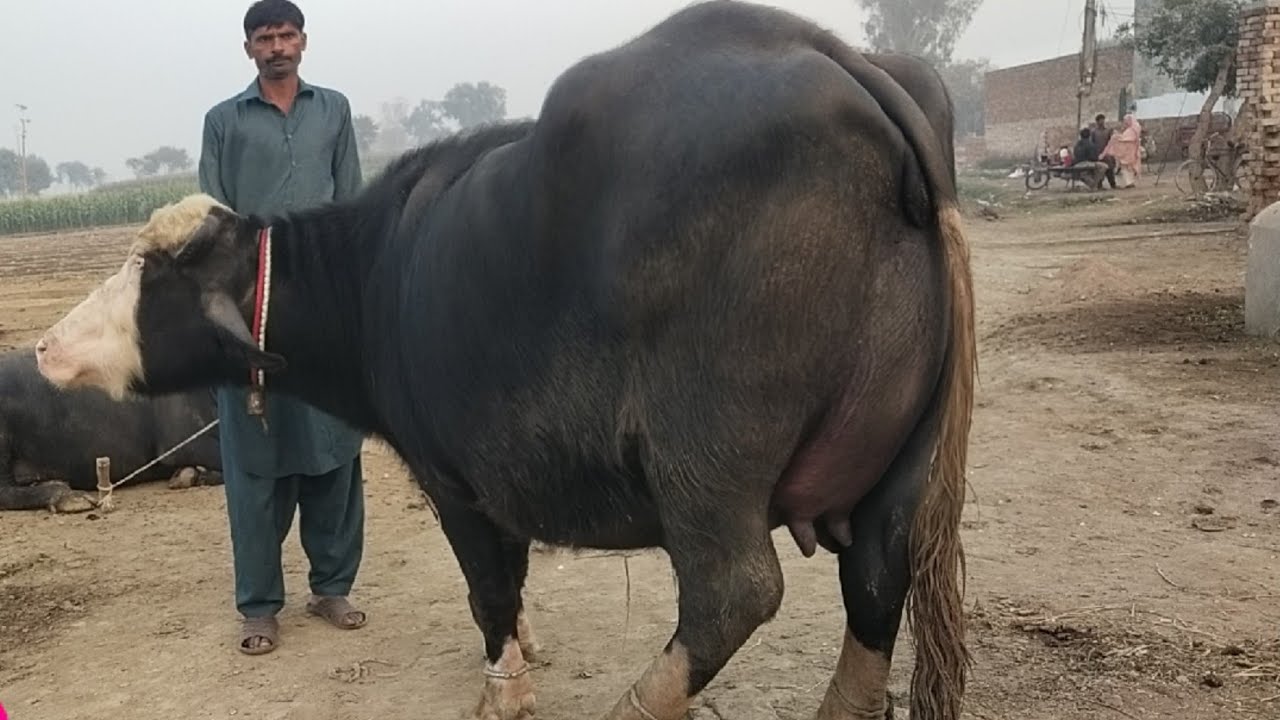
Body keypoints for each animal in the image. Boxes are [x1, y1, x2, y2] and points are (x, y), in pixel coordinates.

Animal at [34, 2, 976, 718]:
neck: (376, 278)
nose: (43, 345)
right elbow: (515, 582)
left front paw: (504, 688)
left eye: (153, 269)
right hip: (901, 463)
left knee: (734, 592)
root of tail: (834, 57)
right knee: (878, 573)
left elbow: (488, 585)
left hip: (708, 458)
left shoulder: (456, 483)